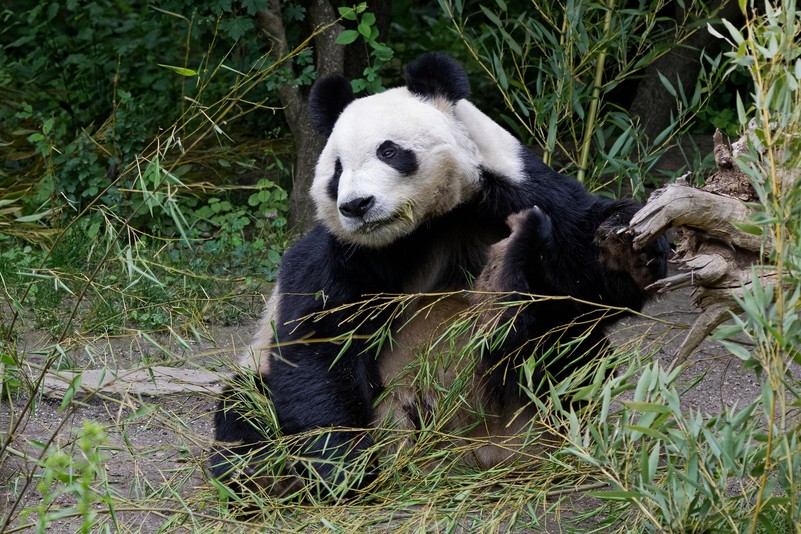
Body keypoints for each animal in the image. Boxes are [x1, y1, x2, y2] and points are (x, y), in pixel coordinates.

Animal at [211, 52, 669, 497]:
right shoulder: (346, 251)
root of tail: (469, 455)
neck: (430, 222)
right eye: (337, 170)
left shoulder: (524, 196)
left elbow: (586, 285)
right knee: (245, 410)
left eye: (389, 151)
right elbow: (319, 339)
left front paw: (624, 250)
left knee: (572, 357)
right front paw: (343, 469)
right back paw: (264, 476)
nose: (356, 205)